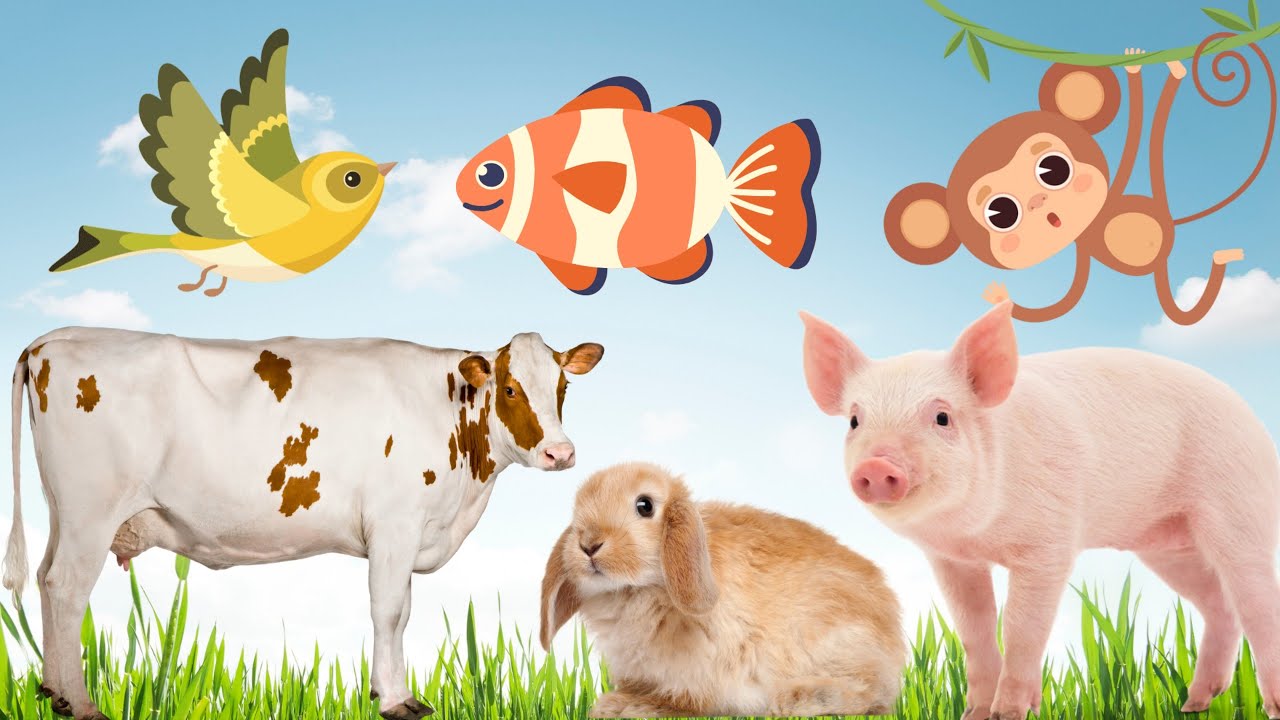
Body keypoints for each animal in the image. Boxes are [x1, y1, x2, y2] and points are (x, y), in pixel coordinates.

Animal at [3, 327, 603, 720]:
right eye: (511, 389)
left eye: (562, 388)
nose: (561, 452)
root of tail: (53, 339)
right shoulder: (395, 525)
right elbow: (389, 612)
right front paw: (395, 700)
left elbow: (403, 614)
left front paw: (391, 692)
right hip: (91, 510)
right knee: (66, 588)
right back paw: (81, 704)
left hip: (65, 512)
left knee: (46, 579)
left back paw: (53, 691)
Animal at [539, 462, 906, 718]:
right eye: (577, 509)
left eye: (645, 506)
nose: (588, 544)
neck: (637, 588)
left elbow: (684, 703)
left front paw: (625, 706)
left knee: (870, 693)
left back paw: (799, 699)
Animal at [799, 301, 1280, 720]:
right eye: (854, 421)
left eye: (942, 417)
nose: (876, 465)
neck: (976, 533)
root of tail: (1254, 422)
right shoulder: (952, 559)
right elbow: (973, 628)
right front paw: (974, 713)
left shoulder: (1049, 542)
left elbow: (1020, 626)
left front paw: (1009, 712)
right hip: (1166, 544)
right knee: (1220, 605)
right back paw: (1194, 704)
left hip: (1237, 502)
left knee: (1256, 600)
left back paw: (1266, 704)